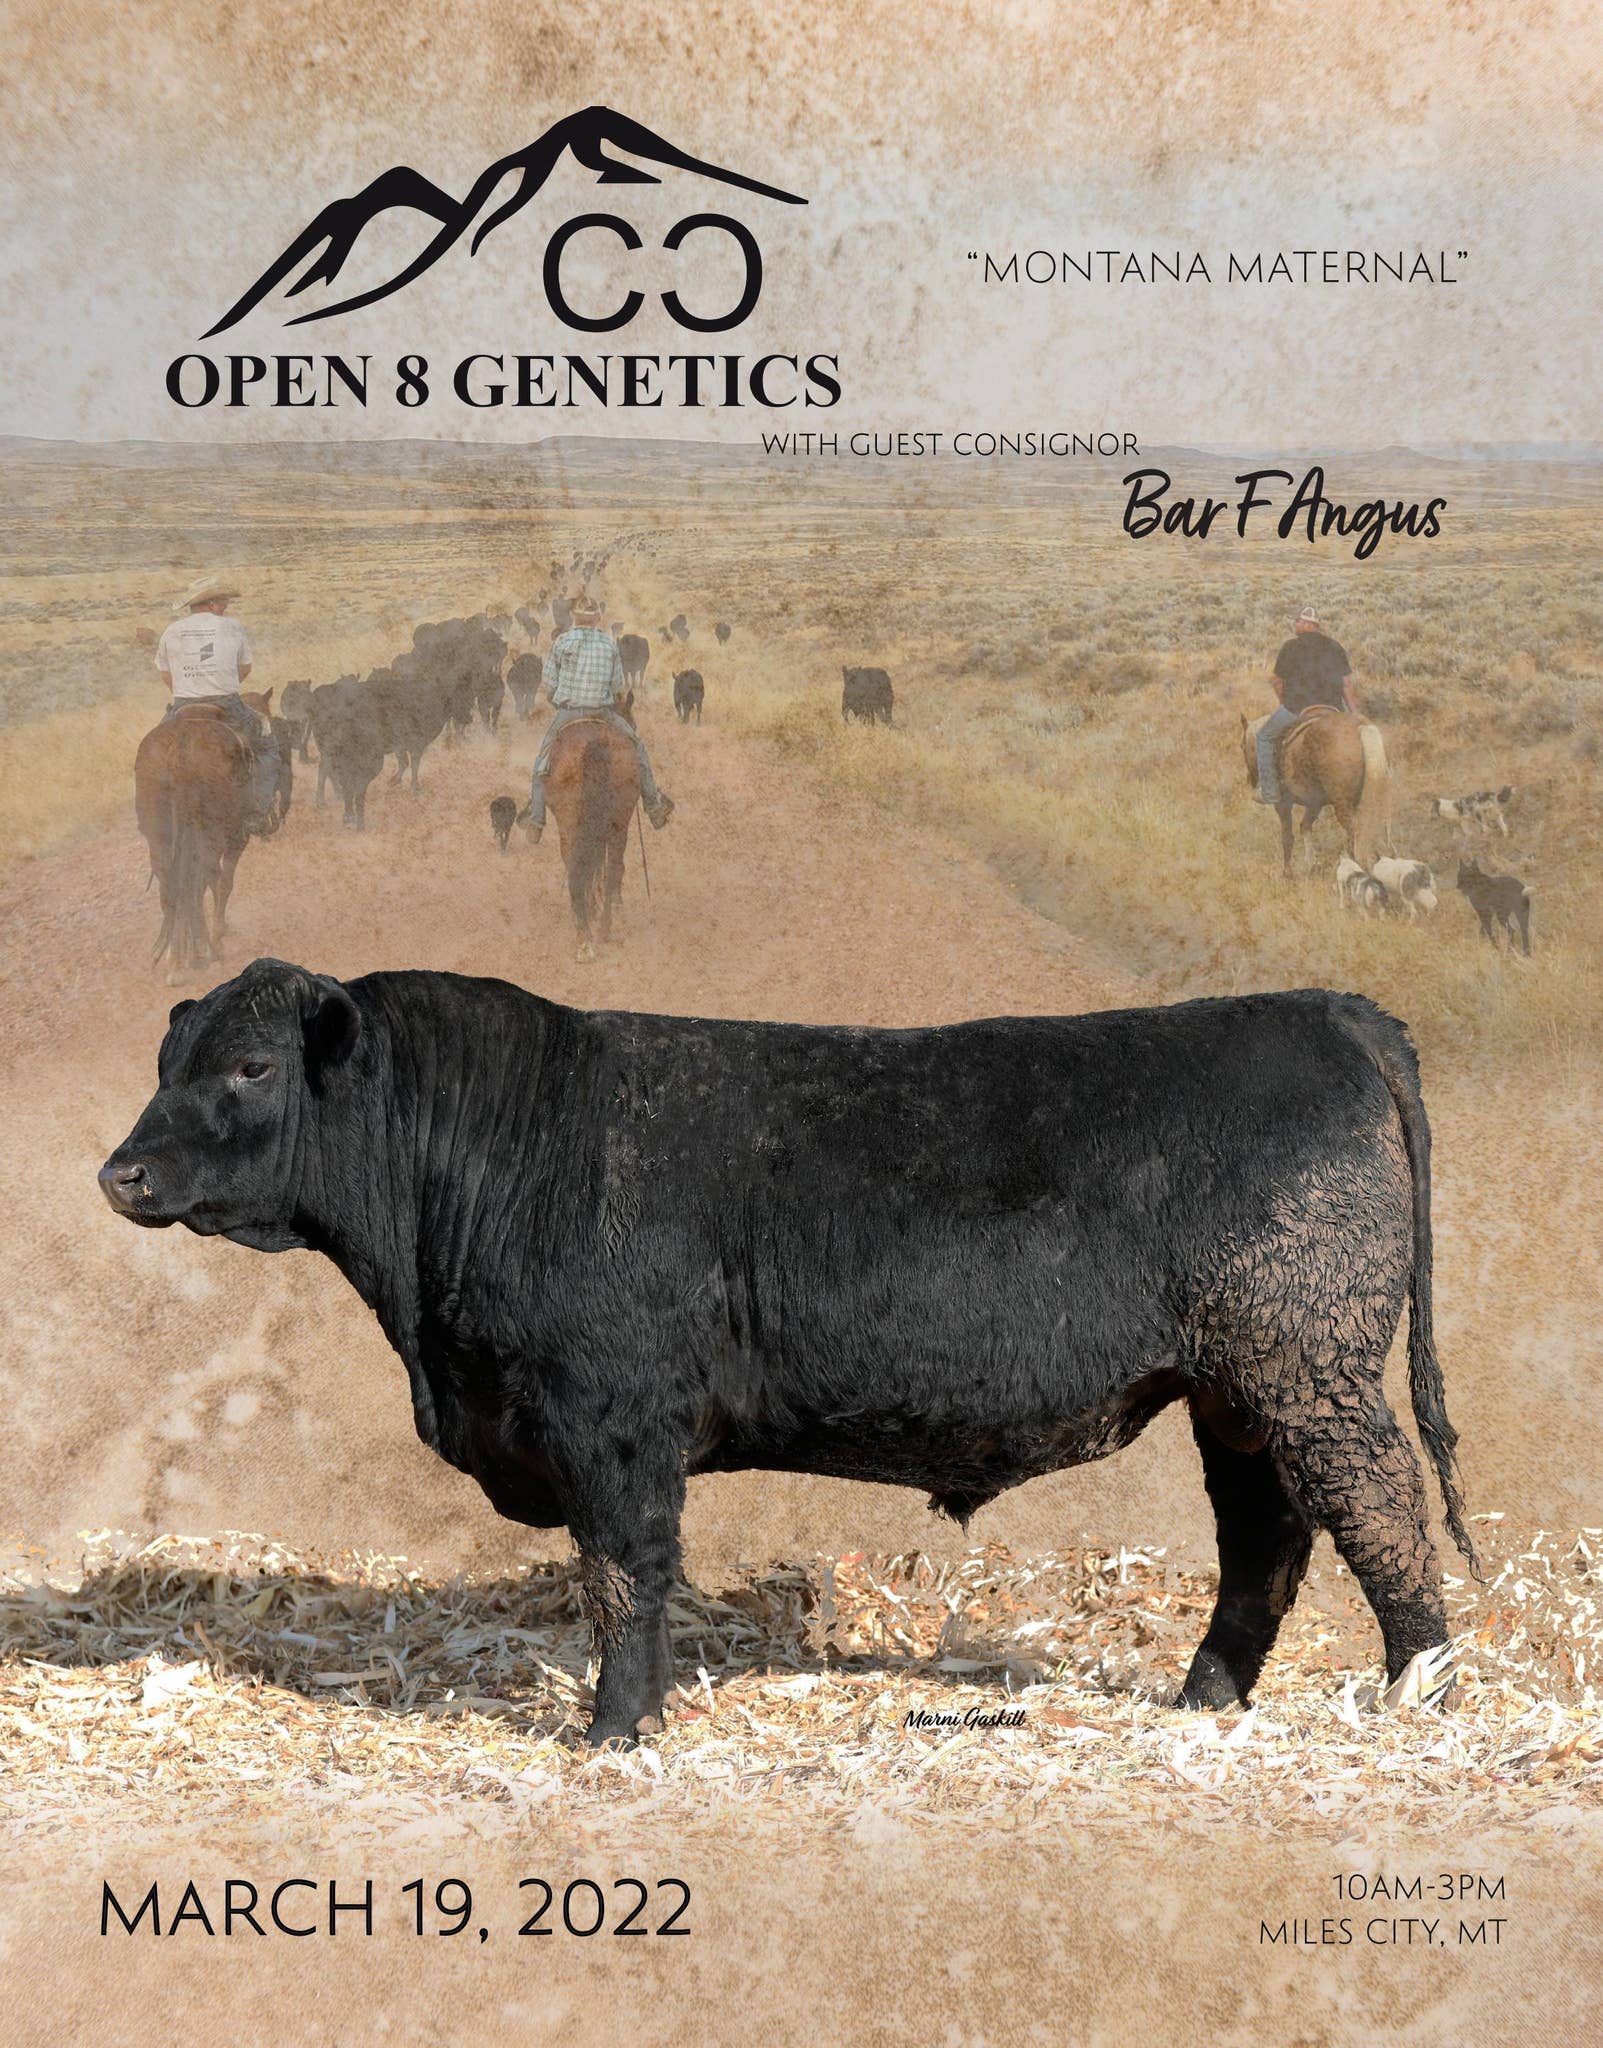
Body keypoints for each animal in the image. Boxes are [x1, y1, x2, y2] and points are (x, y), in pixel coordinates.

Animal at [100, 966, 1476, 1749]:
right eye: (164, 1060)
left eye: (251, 1064)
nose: (122, 1173)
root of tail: (1325, 1009)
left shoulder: (611, 1421)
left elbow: (622, 1577)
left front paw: (613, 1732)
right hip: (1237, 1389)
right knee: (1267, 1534)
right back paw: (1207, 1697)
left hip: (1307, 1367)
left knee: (1378, 1509)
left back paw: (1421, 1690)